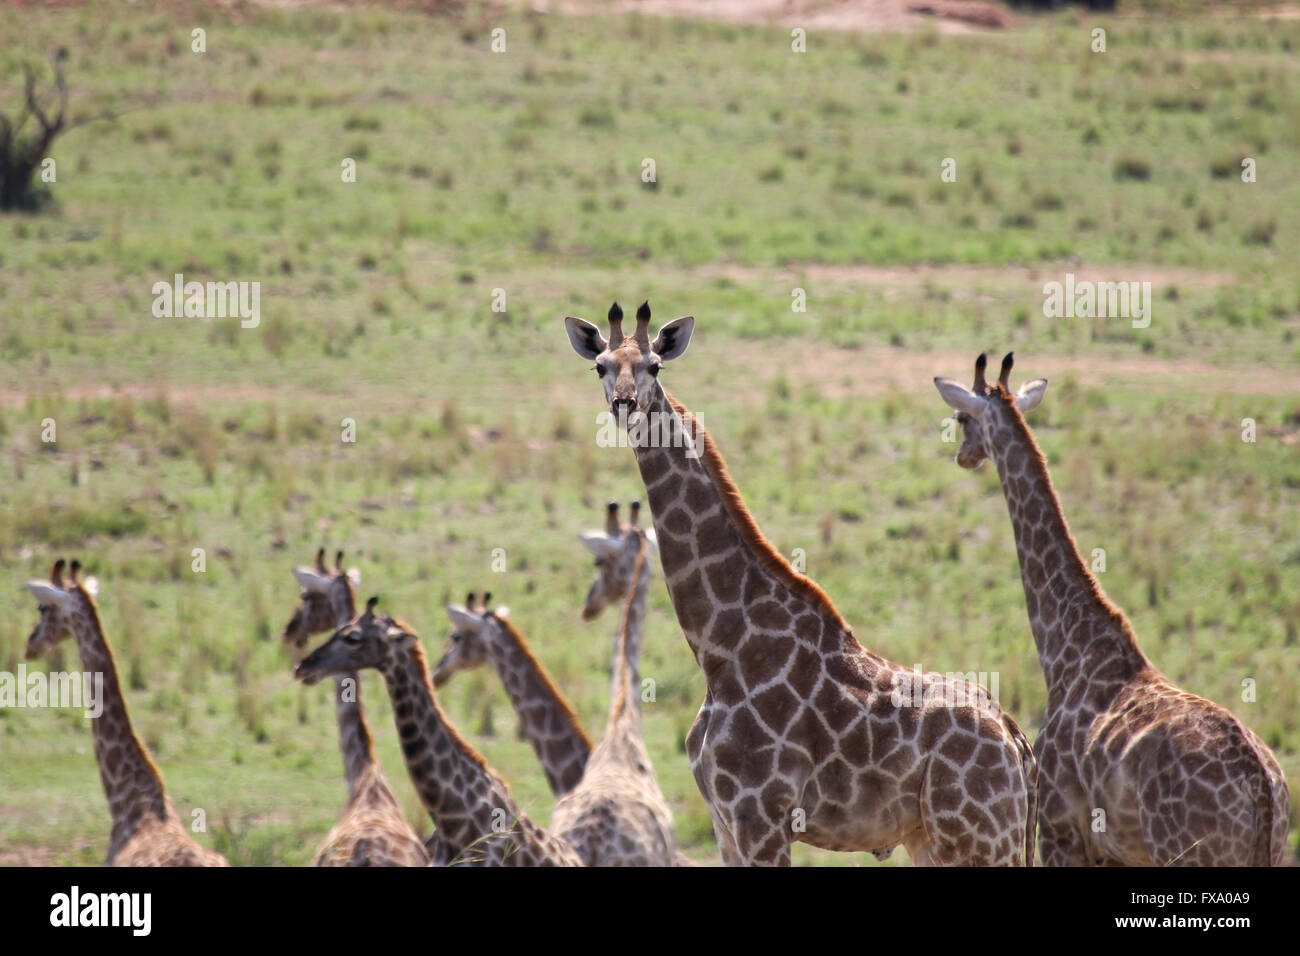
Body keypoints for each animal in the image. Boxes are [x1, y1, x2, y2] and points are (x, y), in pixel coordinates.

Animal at [564, 302, 1038, 866]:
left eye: (655, 366)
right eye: (601, 366)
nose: (625, 405)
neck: (720, 650)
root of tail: (1017, 741)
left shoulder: (761, 819)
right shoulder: (725, 825)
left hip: (979, 839)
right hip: (934, 839)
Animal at [934, 352, 1290, 866]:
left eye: (963, 417)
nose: (963, 455)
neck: (1065, 648)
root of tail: (1259, 787)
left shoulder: (1060, 828)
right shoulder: (1112, 849)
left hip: (1187, 852)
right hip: (1270, 847)